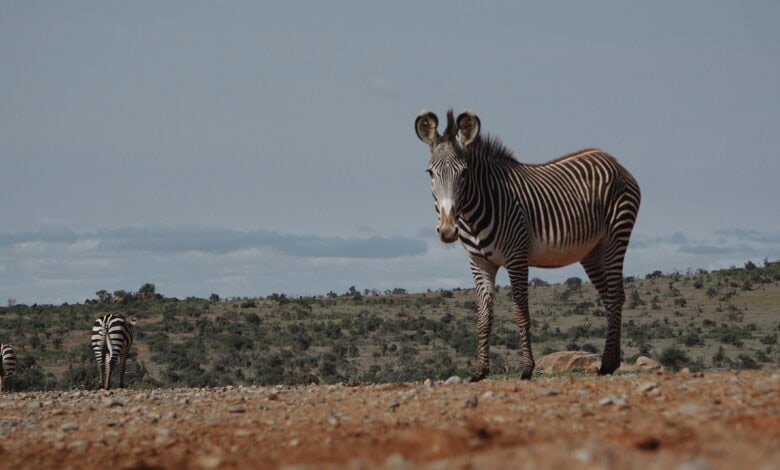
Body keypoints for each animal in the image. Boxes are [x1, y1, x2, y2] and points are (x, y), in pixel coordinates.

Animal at [415, 109, 641, 380]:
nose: (448, 230)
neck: (475, 212)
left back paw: (607, 363)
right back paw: (611, 362)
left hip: (615, 236)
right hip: (592, 251)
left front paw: (526, 369)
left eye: (464, 173)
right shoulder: (479, 263)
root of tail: (612, 160)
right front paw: (480, 371)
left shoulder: (517, 258)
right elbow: (483, 316)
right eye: (430, 173)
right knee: (609, 297)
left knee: (616, 295)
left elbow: (521, 313)